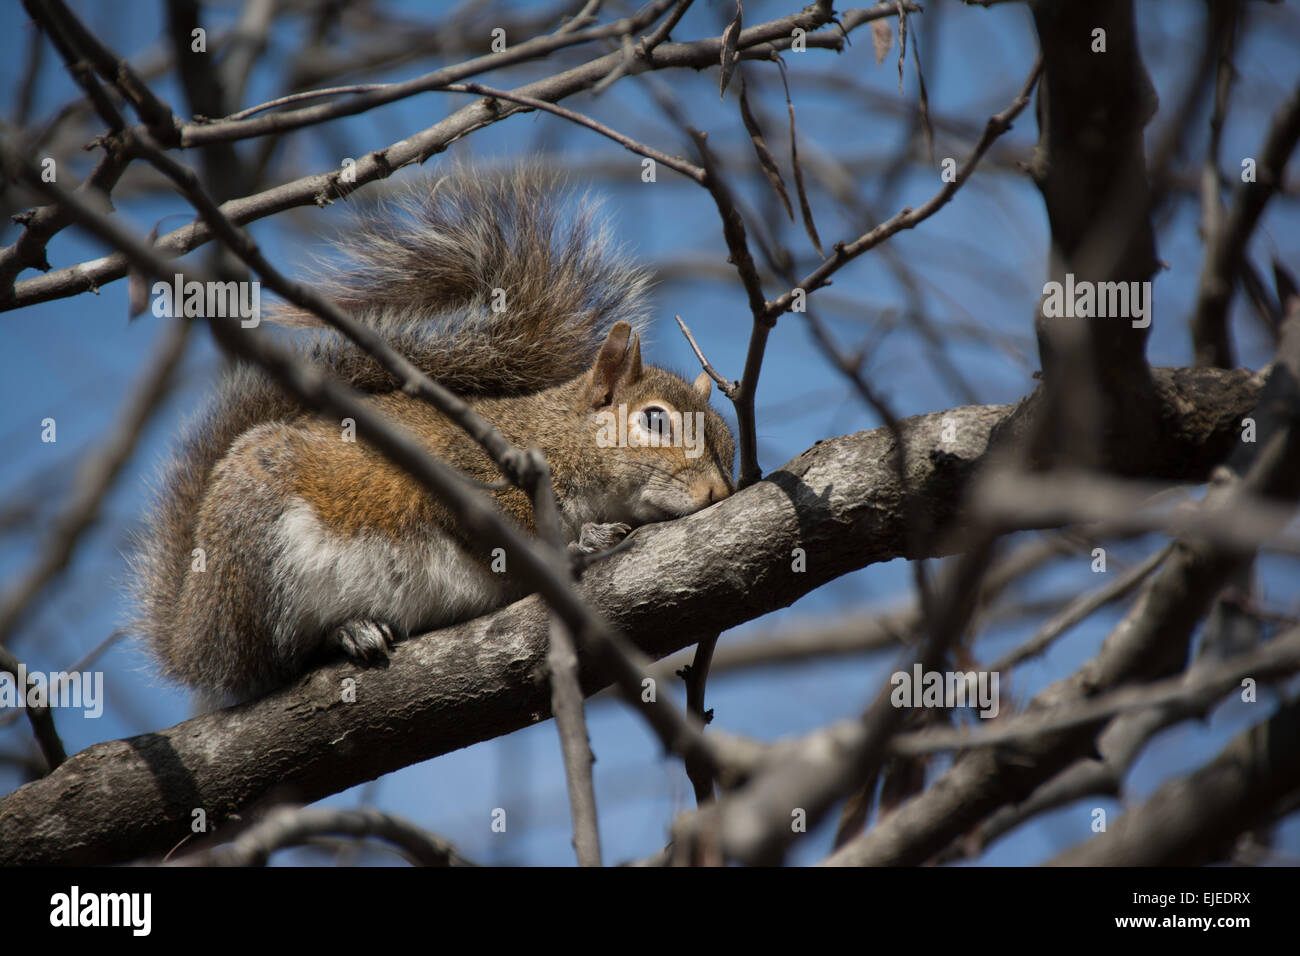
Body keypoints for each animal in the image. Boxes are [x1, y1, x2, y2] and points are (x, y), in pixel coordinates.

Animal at [131, 165, 736, 705]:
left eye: (731, 446)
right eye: (654, 420)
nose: (718, 492)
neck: (554, 436)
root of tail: (191, 633)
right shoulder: (464, 473)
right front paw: (582, 543)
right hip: (256, 555)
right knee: (276, 658)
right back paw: (347, 632)